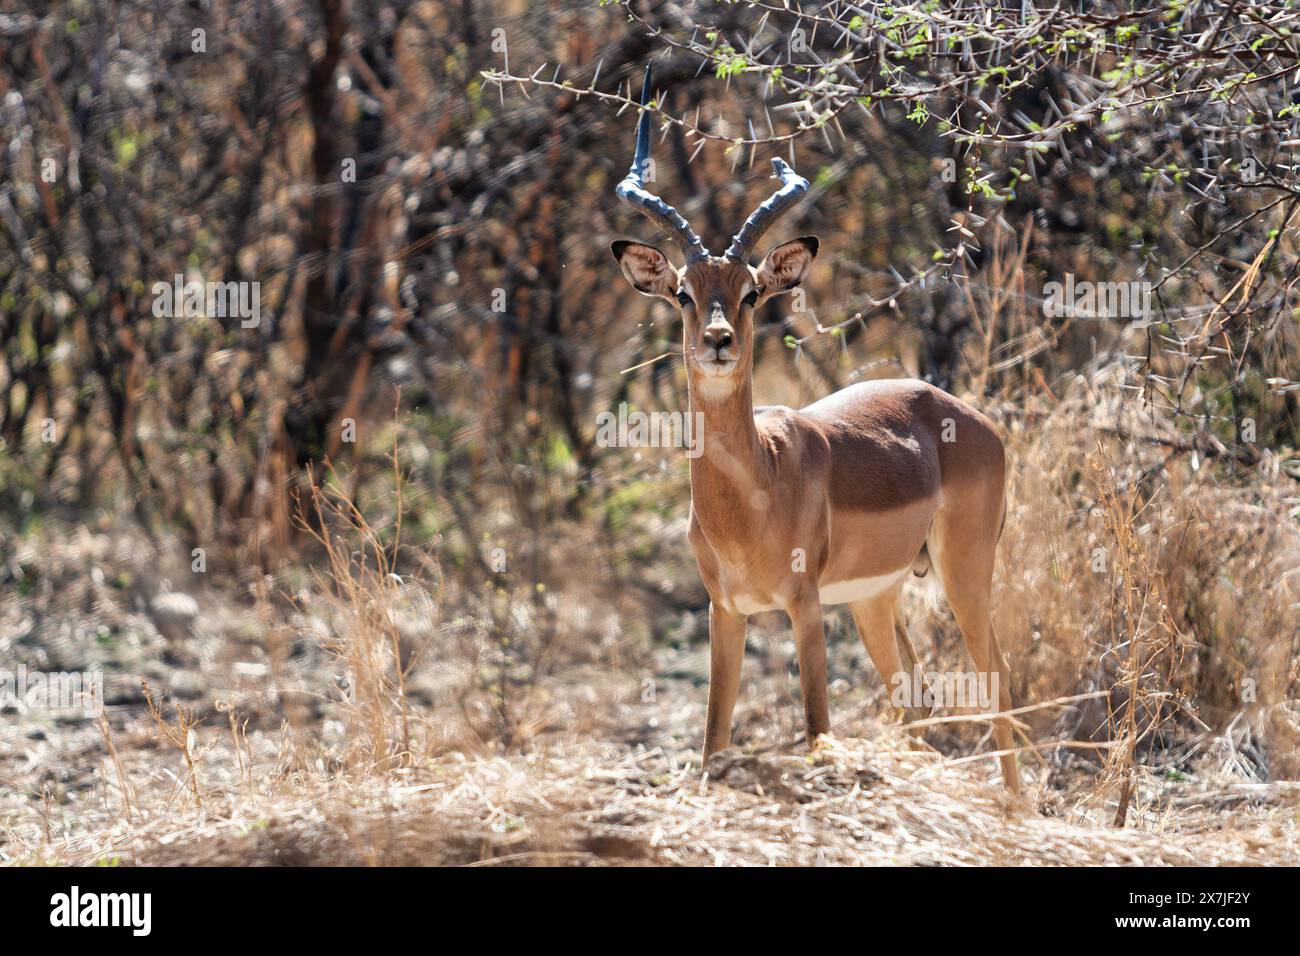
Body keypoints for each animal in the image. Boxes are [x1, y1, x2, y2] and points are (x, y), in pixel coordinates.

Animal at [609, 68, 1020, 792]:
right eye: (684, 293)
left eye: (751, 292)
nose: (718, 341)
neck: (752, 494)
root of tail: (974, 420)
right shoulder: (725, 610)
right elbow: (713, 738)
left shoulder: (801, 605)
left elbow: (815, 727)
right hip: (876, 597)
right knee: (914, 692)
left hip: (963, 572)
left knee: (996, 679)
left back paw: (1020, 805)